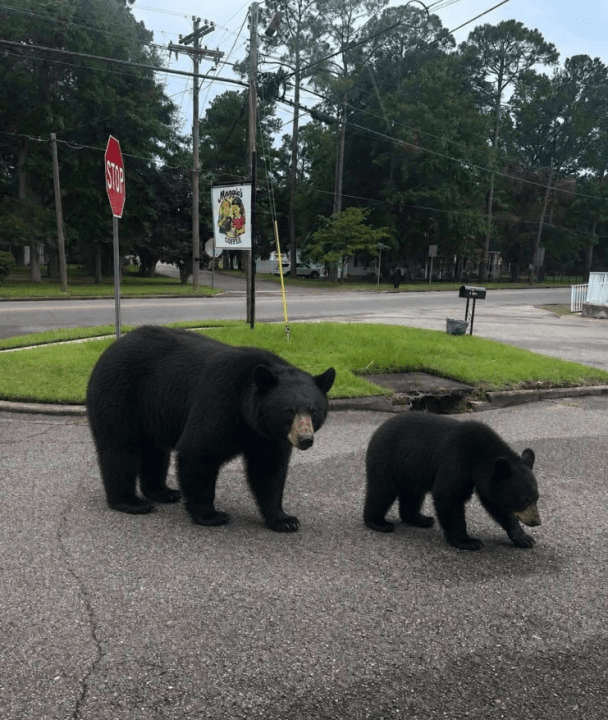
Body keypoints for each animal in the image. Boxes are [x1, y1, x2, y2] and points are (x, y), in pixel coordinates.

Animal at [86, 325, 335, 533]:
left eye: (313, 410)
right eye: (289, 411)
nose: (305, 439)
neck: (246, 413)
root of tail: (110, 349)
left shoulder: (267, 436)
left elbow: (268, 470)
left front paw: (284, 519)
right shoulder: (220, 401)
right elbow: (199, 452)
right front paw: (210, 515)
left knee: (155, 452)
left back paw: (163, 492)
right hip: (119, 396)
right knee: (120, 449)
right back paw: (130, 502)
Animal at [363, 413, 540, 550]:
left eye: (537, 498)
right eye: (525, 499)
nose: (537, 521)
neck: (478, 457)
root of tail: (378, 430)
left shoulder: (487, 481)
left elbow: (496, 504)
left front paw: (524, 538)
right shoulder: (456, 460)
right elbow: (448, 496)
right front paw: (468, 541)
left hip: (410, 469)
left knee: (413, 494)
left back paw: (420, 519)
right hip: (387, 458)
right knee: (382, 490)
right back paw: (378, 522)